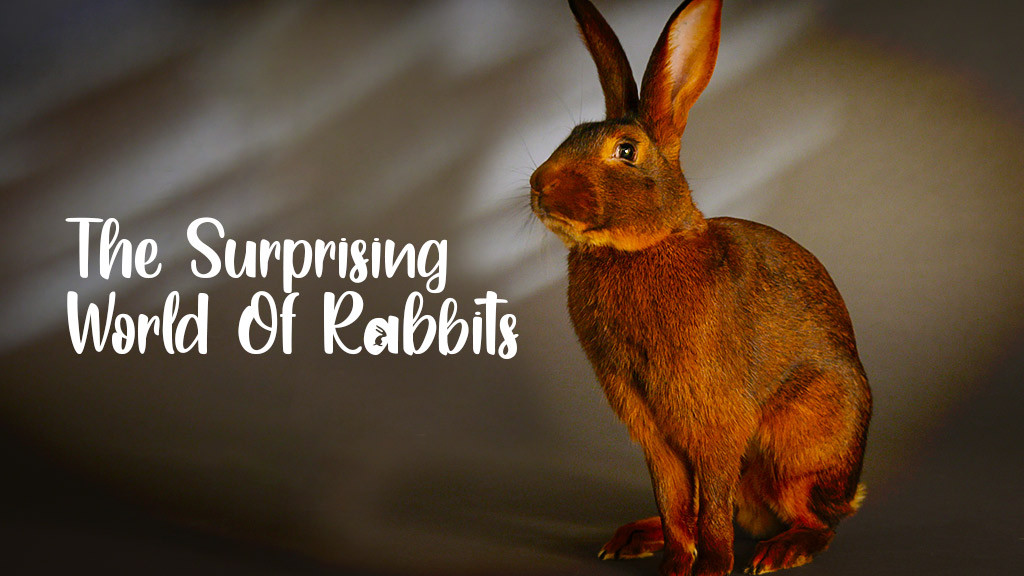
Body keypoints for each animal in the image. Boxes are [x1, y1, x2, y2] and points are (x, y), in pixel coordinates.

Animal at [528, 1, 872, 575]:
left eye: (626, 151)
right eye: (570, 135)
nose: (539, 184)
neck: (644, 245)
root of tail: (850, 491)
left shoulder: (713, 419)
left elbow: (709, 501)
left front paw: (710, 567)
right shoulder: (649, 427)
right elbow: (671, 497)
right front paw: (673, 563)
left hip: (796, 449)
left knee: (812, 519)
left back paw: (779, 551)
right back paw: (633, 538)